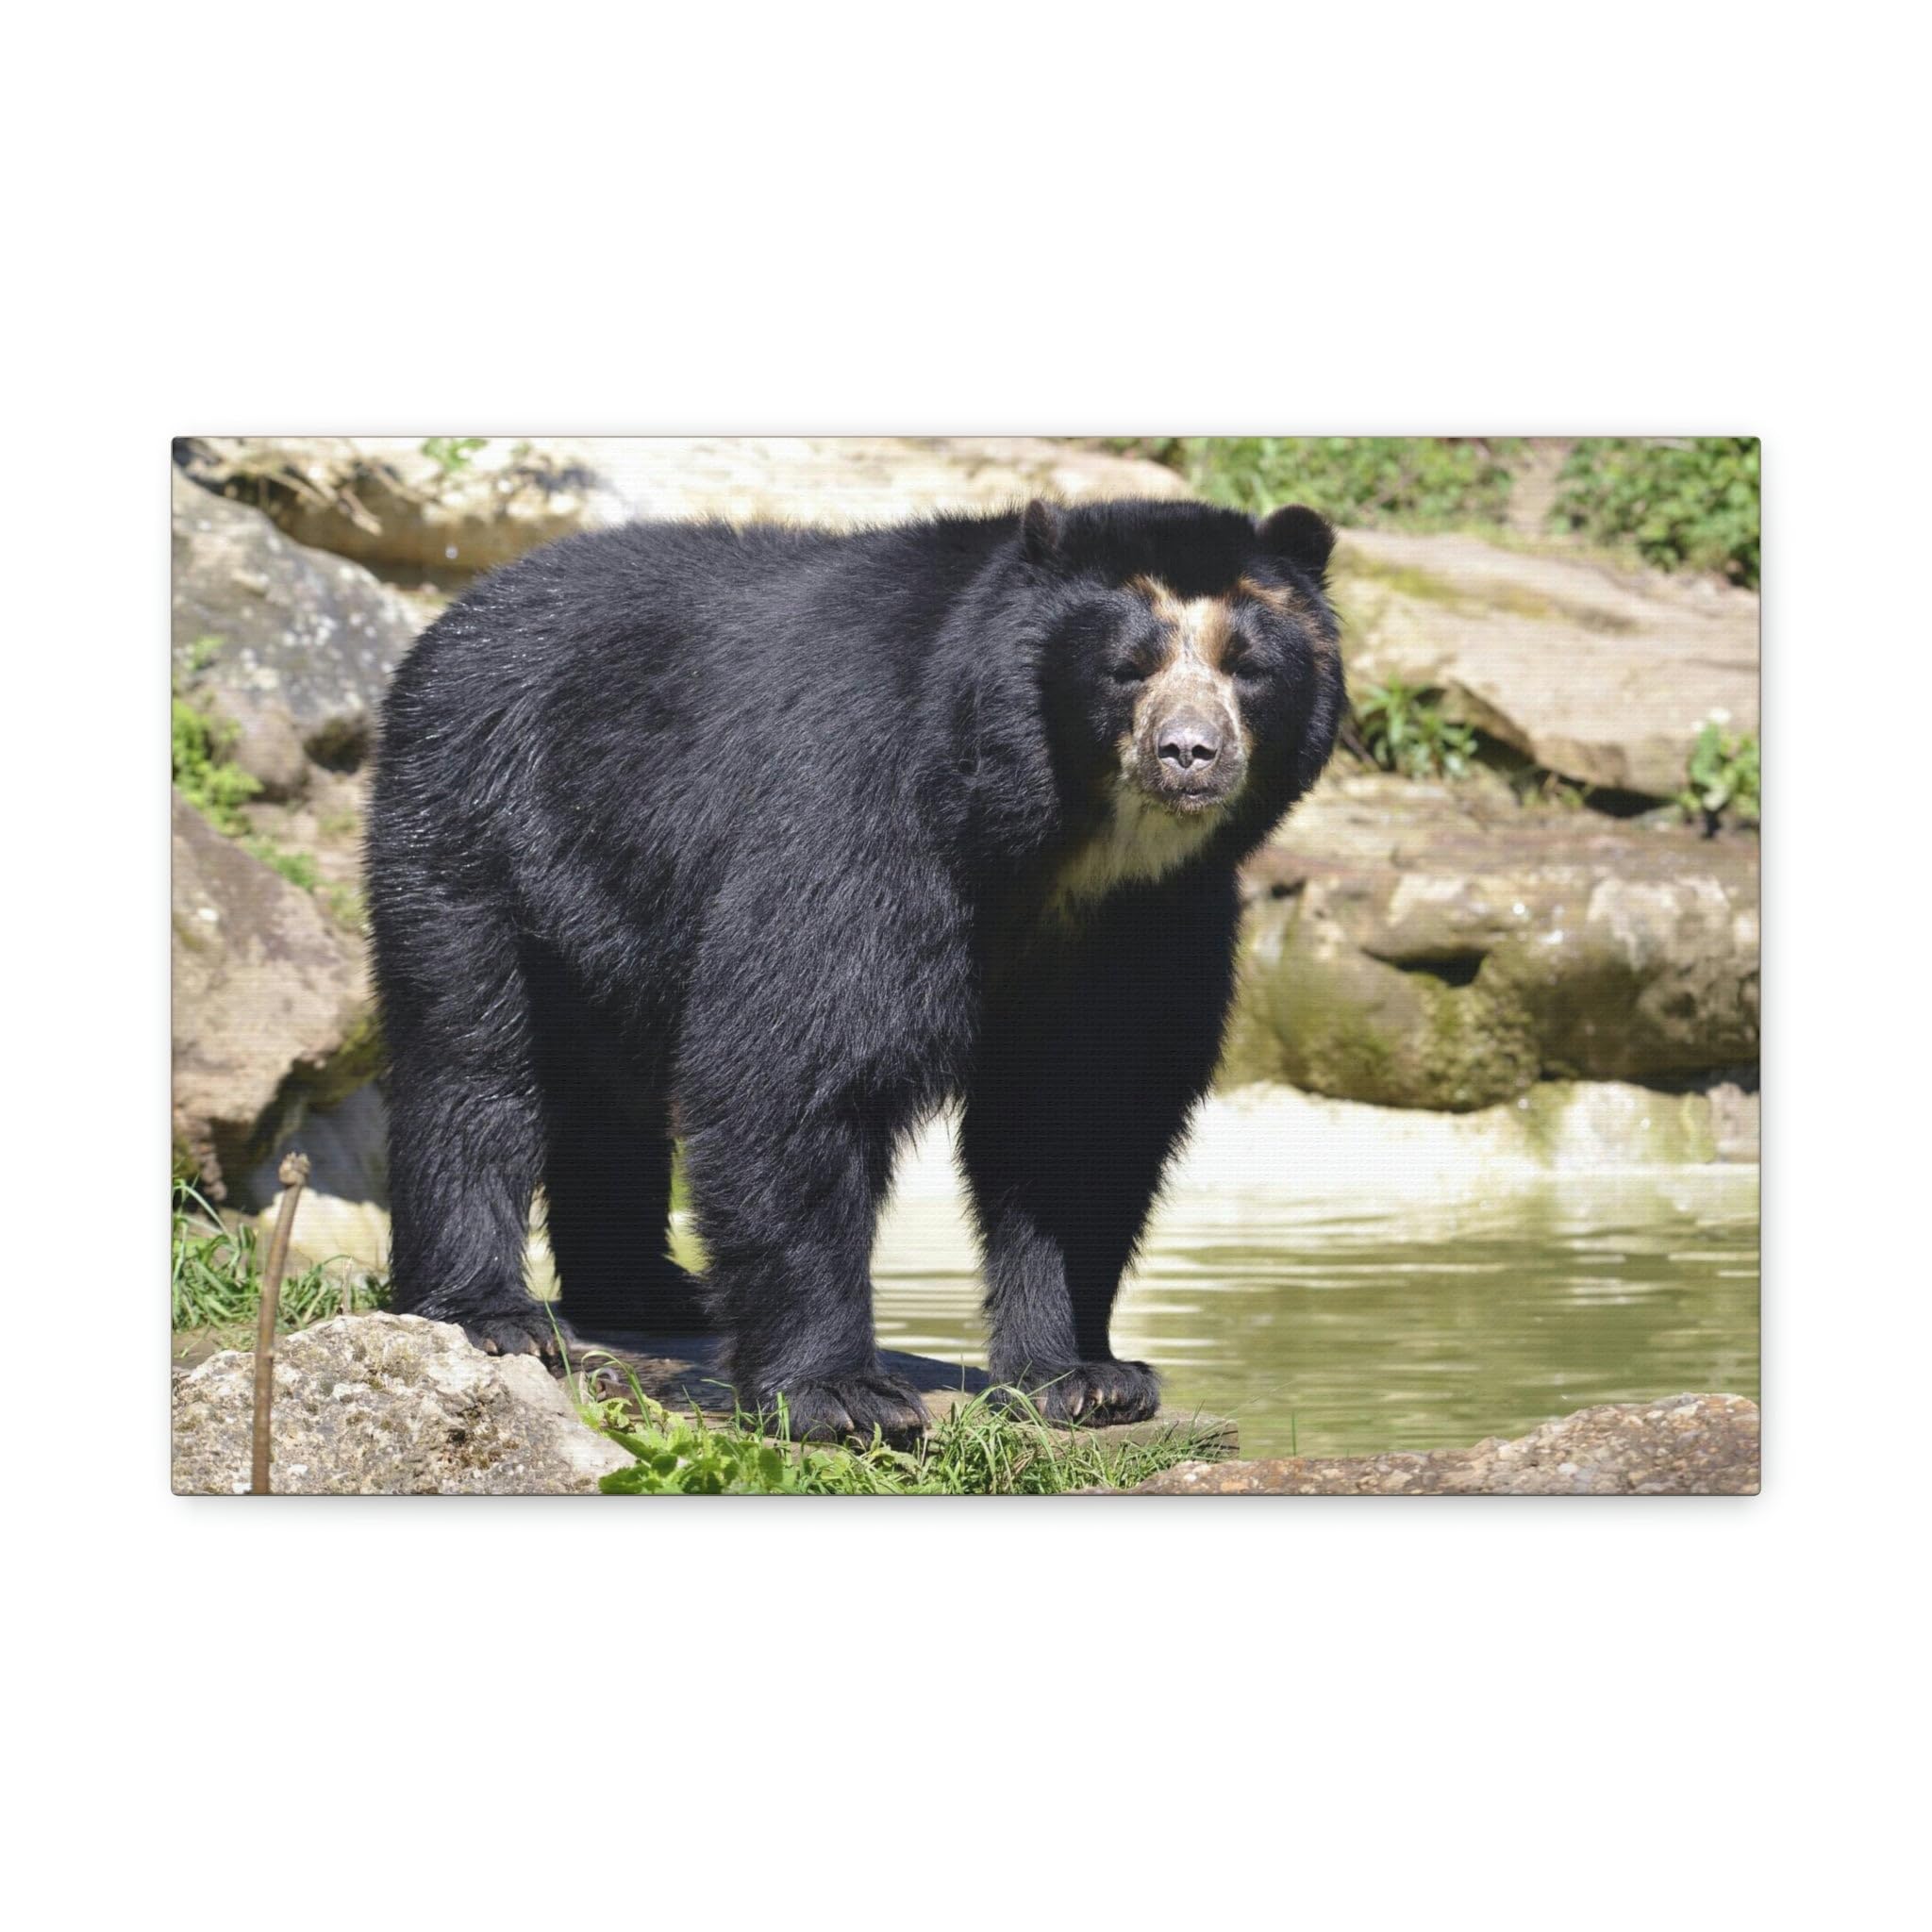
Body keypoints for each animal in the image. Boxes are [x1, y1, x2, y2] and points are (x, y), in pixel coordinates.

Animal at [366, 495, 1343, 1443]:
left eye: (1248, 666)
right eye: (1126, 668)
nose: (1189, 753)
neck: (1065, 848)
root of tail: (464, 609)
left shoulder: (1151, 922)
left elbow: (1086, 1117)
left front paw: (1087, 1379)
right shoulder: (863, 814)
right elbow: (796, 1065)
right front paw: (842, 1396)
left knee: (608, 1087)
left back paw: (650, 1292)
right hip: (478, 821)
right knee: (471, 1059)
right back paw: (496, 1313)